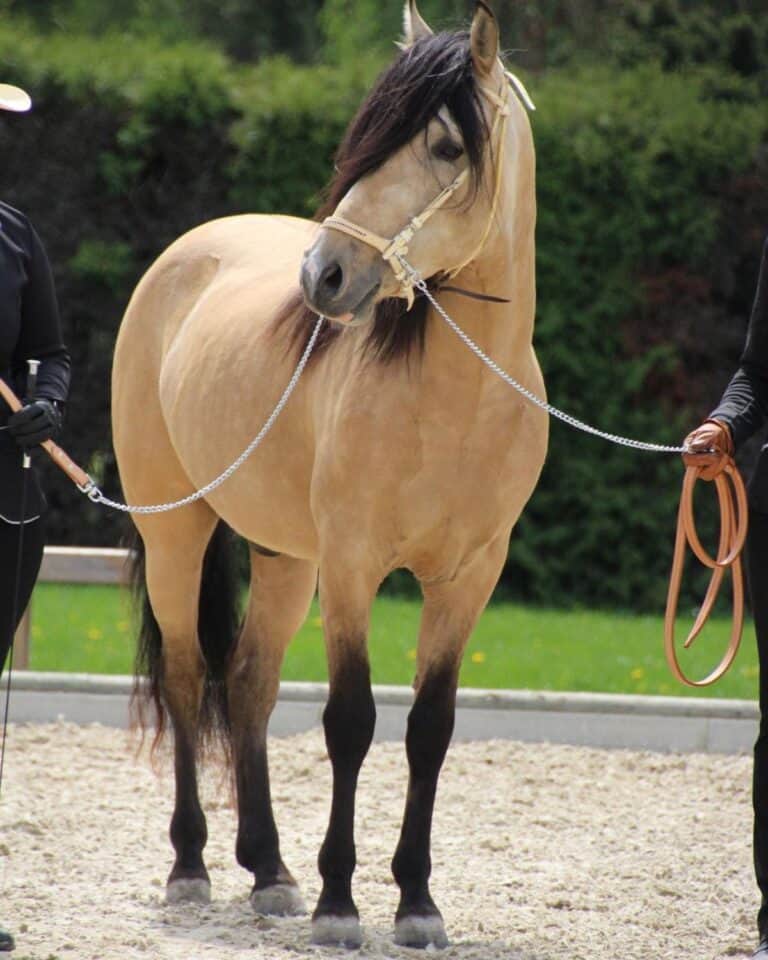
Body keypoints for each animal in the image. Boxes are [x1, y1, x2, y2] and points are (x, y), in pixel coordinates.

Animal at [111, 0, 547, 949]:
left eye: (446, 146)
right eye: (366, 138)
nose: (325, 275)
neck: (455, 402)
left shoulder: (468, 580)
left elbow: (429, 729)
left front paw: (416, 903)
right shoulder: (352, 568)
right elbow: (351, 722)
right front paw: (339, 904)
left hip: (286, 559)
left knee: (247, 683)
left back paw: (269, 871)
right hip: (179, 534)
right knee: (189, 677)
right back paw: (192, 867)